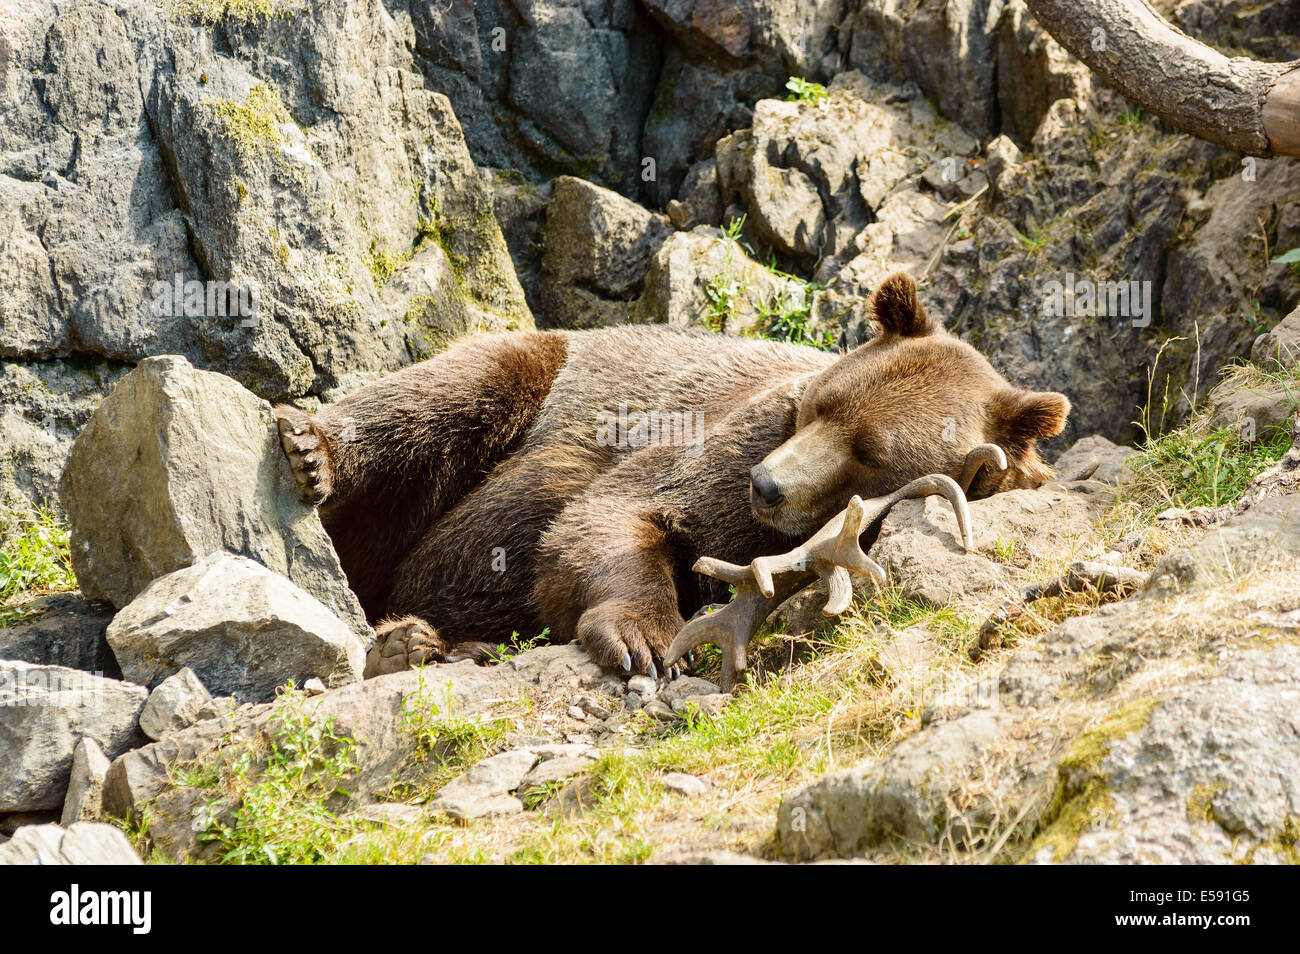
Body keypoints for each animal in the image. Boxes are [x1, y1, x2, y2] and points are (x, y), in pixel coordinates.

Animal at [275, 273, 1069, 676]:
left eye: (871, 453)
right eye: (822, 404)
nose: (768, 485)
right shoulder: (720, 440)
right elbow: (619, 515)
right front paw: (645, 641)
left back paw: (421, 642)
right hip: (526, 390)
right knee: (459, 390)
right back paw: (313, 450)